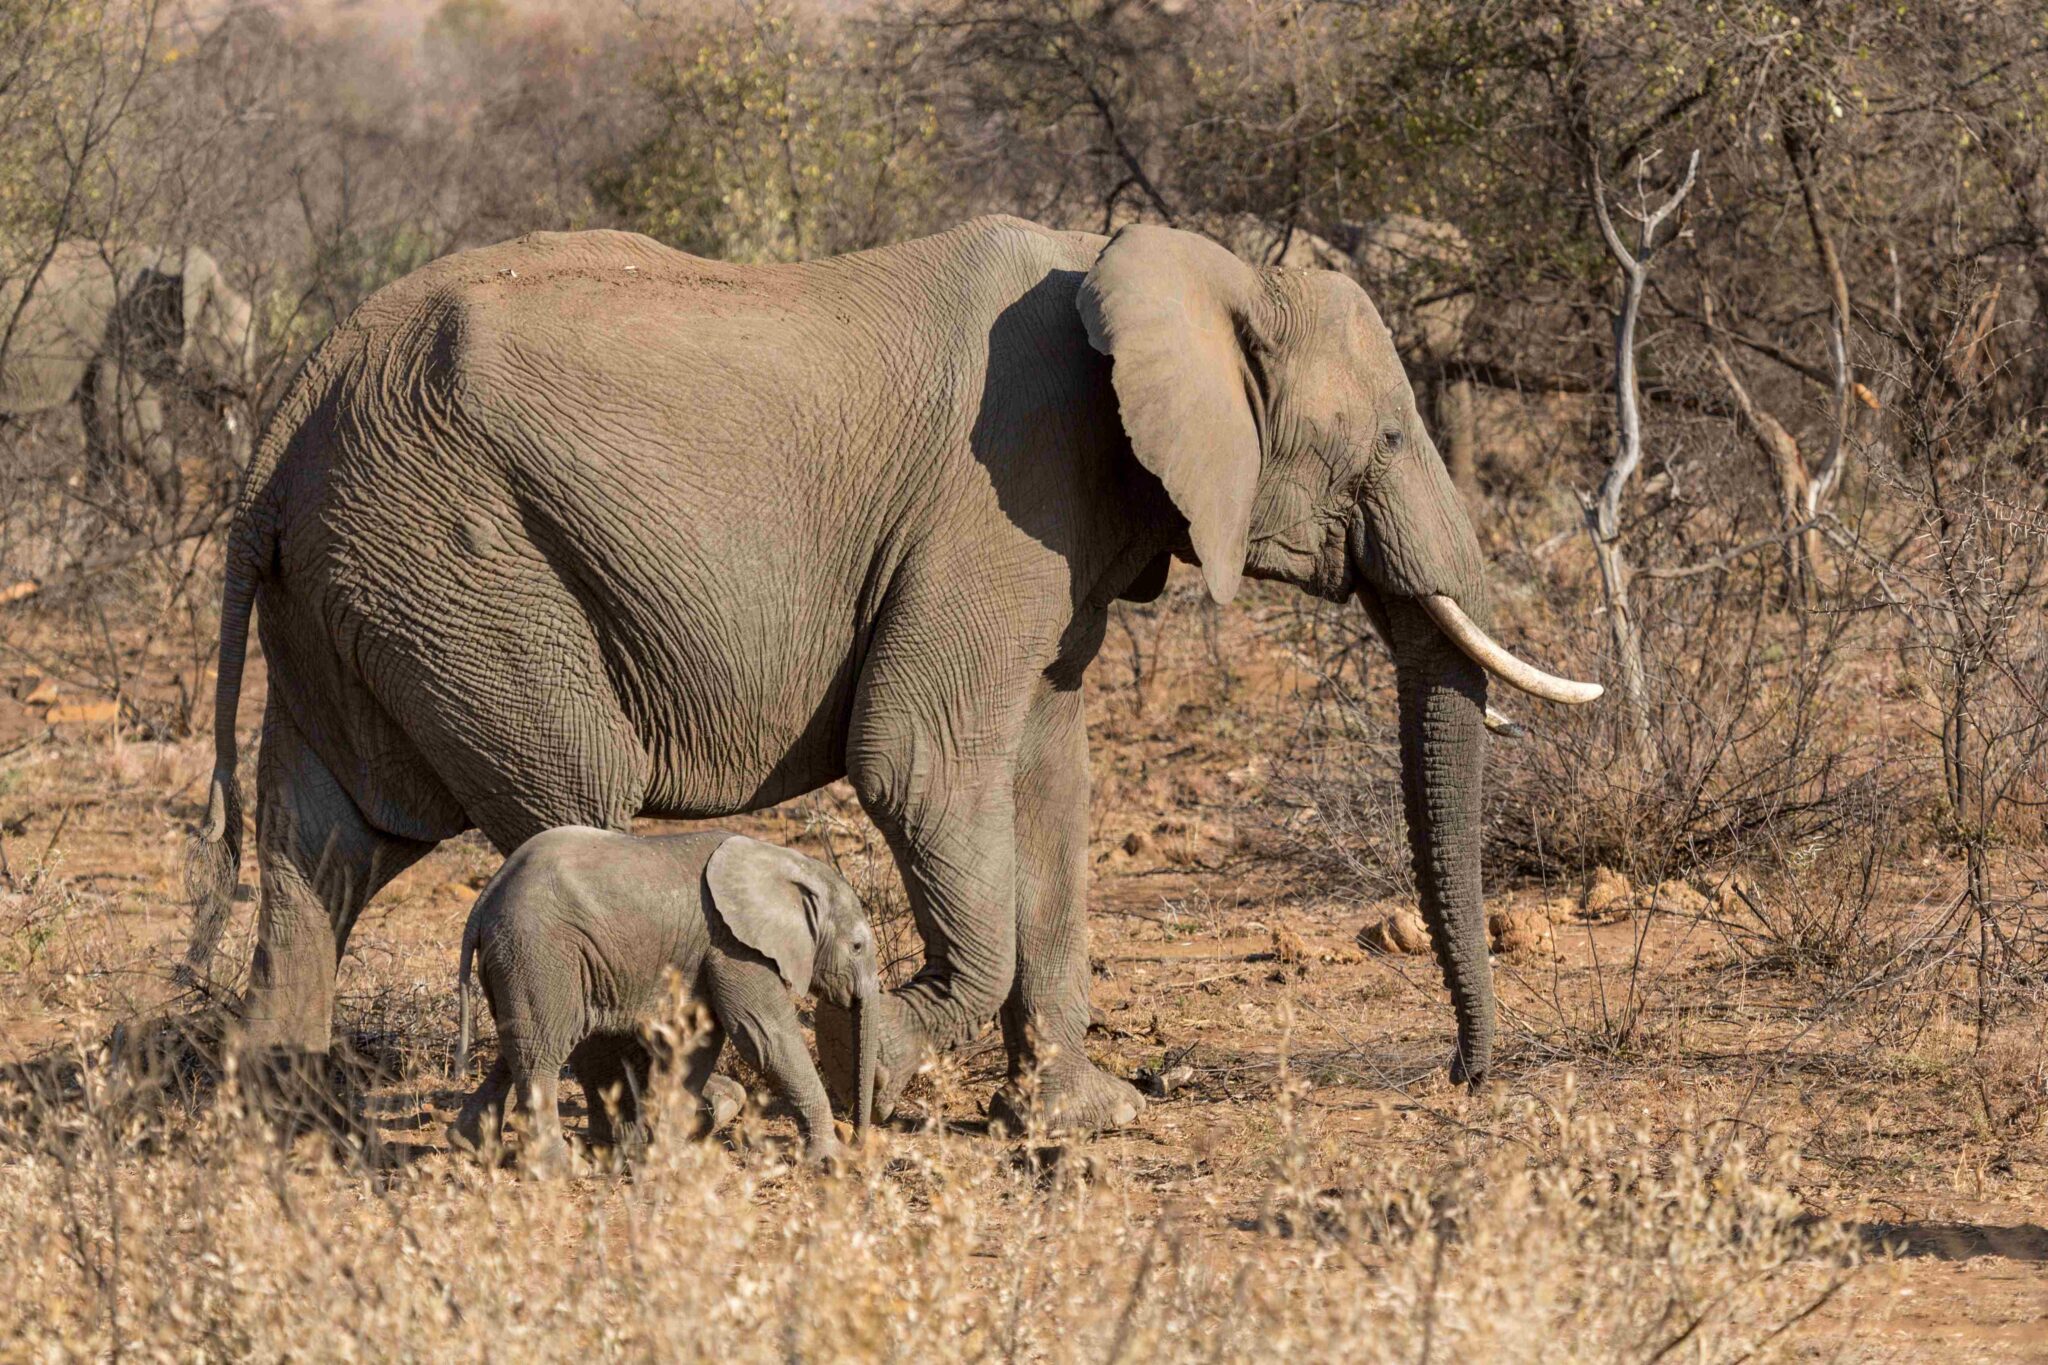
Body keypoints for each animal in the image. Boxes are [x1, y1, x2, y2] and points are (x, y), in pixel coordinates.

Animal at [0, 240, 258, 515]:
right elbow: (127, 416)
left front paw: (97, 514)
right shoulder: (124, 337)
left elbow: (97, 419)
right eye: (232, 352)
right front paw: (169, 518)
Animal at [449, 828, 879, 1170]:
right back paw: (558, 1169)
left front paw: (667, 1153)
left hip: (521, 957)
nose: (860, 1140)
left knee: (520, 1042)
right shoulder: (734, 945)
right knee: (542, 1050)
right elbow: (766, 1037)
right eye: (857, 946)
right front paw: (829, 1159)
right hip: (539, 950)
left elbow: (697, 1043)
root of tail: (485, 898)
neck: (787, 863)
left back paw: (472, 1146)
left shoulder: (709, 950)